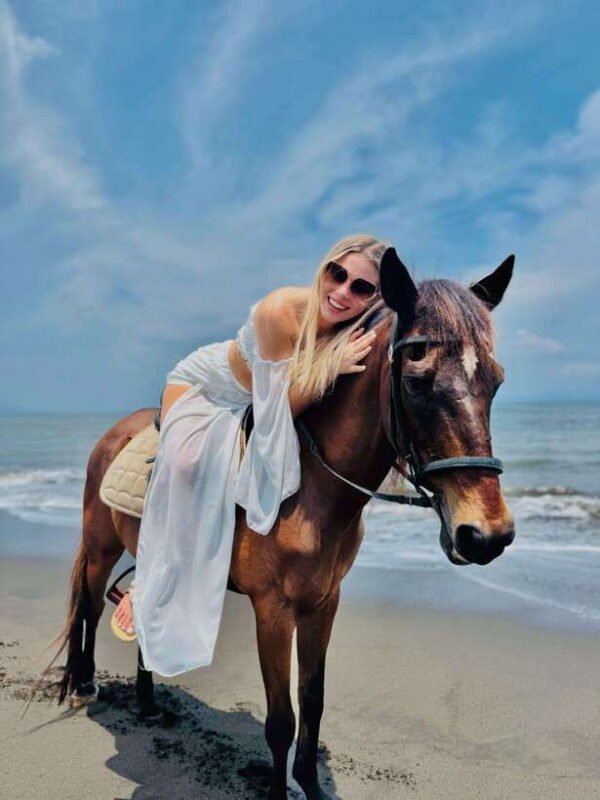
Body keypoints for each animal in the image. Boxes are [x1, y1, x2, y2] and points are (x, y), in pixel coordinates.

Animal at [47, 249, 515, 800]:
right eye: (416, 381)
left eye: (495, 381)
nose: (486, 534)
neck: (313, 490)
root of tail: (114, 433)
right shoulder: (272, 611)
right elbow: (280, 720)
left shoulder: (323, 603)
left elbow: (312, 701)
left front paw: (310, 783)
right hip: (100, 547)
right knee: (91, 607)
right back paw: (82, 686)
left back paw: (146, 700)